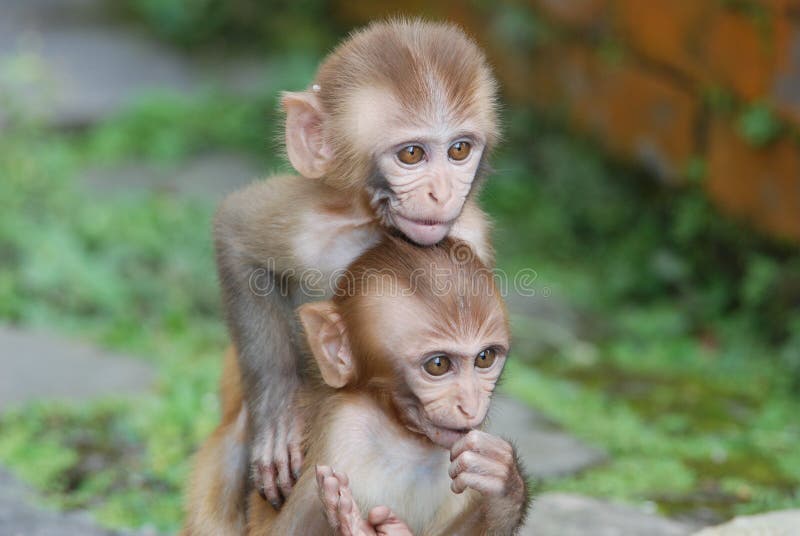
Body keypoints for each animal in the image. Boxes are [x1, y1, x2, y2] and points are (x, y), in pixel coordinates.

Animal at [186, 236, 530, 535]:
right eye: (438, 365)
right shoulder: (345, 436)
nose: (470, 405)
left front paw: (504, 485)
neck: (402, 434)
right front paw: (355, 526)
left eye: (485, 358)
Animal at [213, 18, 500, 508]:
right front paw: (278, 418)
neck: (377, 227)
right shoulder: (311, 221)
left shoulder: (471, 234)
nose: (442, 193)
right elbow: (234, 237)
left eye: (459, 150)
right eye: (411, 154)